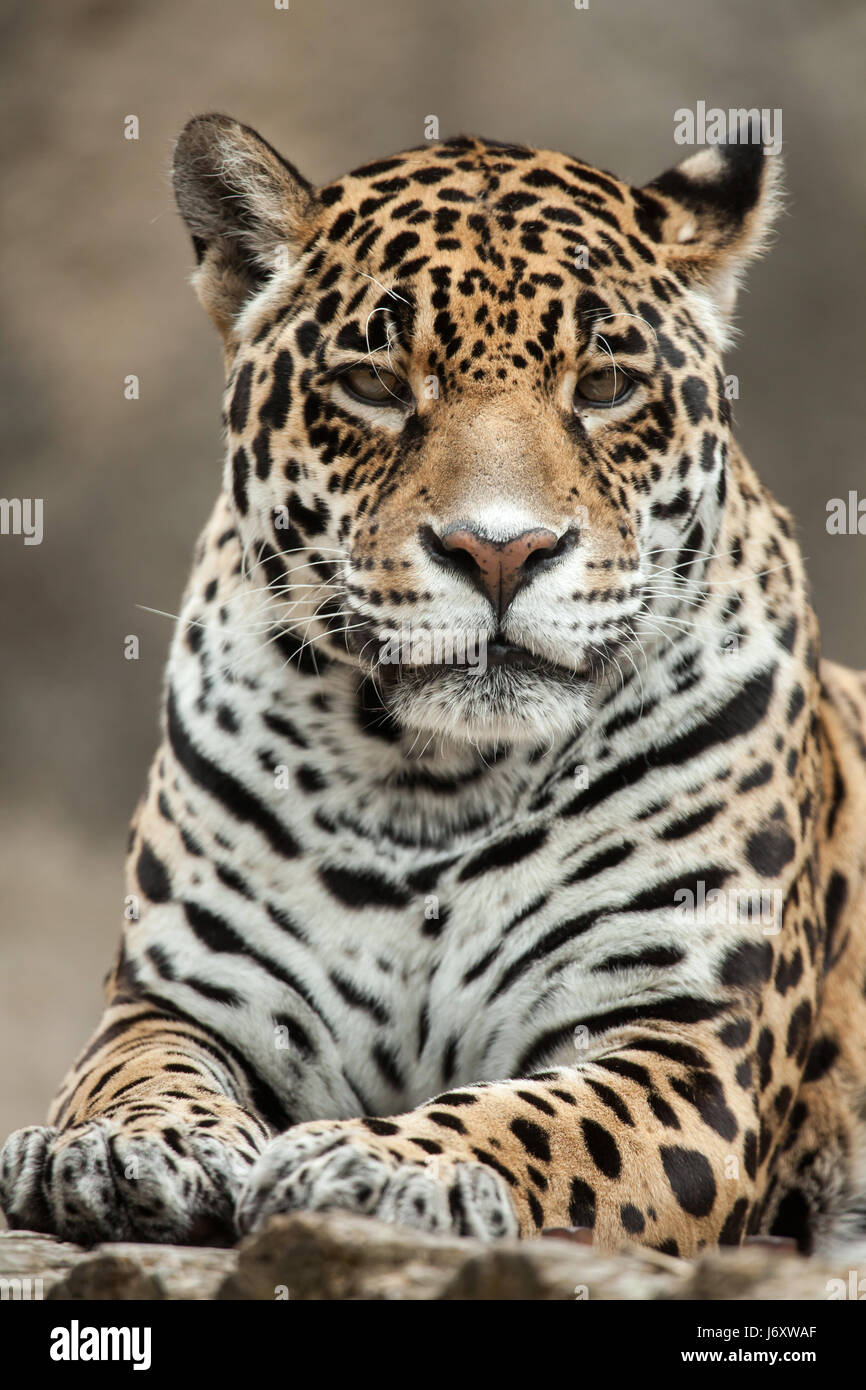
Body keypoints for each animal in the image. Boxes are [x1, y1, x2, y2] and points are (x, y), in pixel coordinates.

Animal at [3, 113, 866, 1259]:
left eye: (605, 387)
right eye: (373, 386)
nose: (499, 551)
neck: (432, 776)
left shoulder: (684, 1045)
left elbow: (533, 1118)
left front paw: (375, 1162)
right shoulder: (174, 995)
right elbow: (133, 1070)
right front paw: (123, 1148)